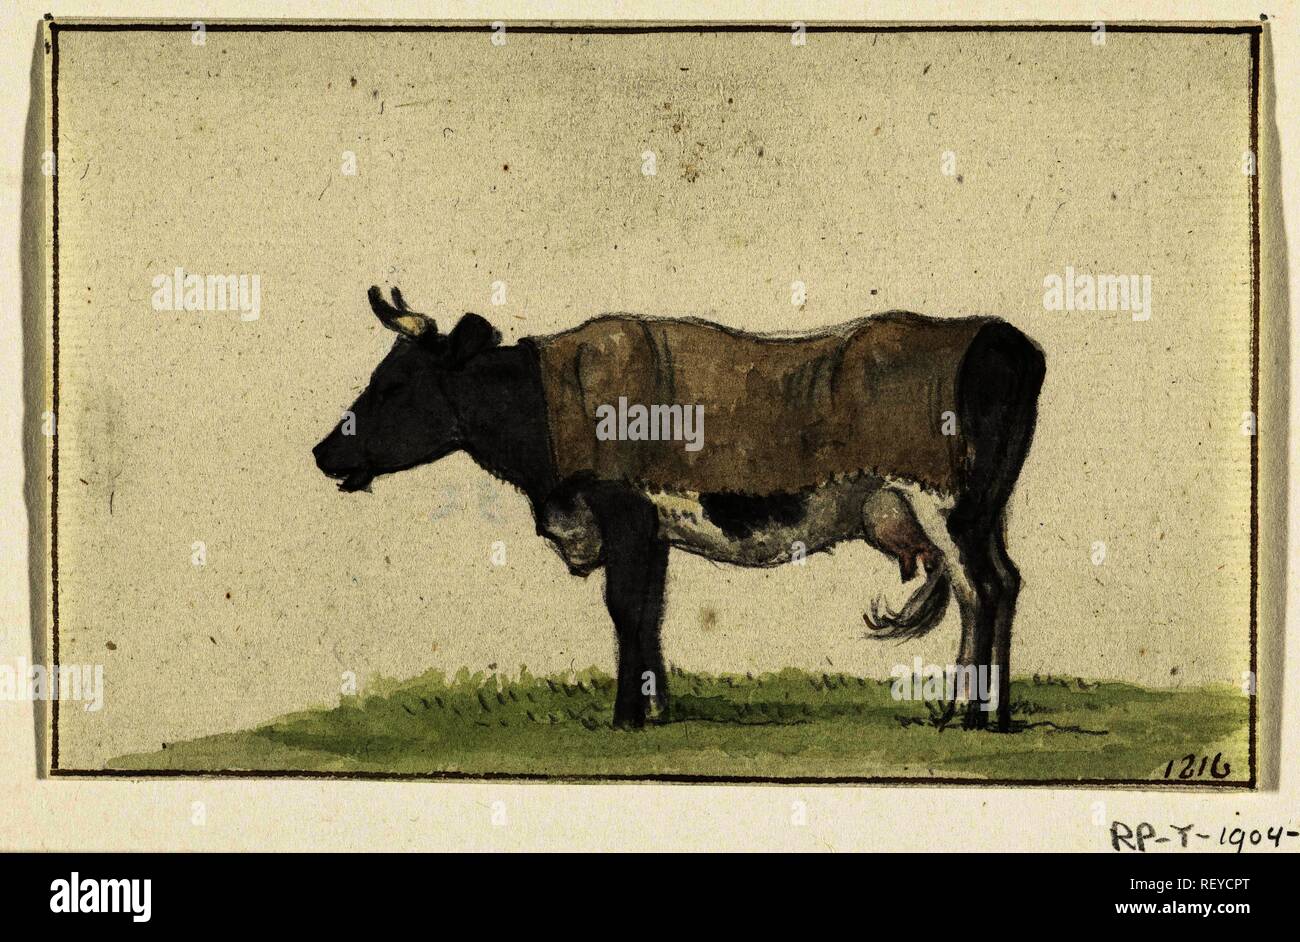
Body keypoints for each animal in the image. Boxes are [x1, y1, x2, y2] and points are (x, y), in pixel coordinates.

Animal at [313, 286, 1046, 732]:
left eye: (393, 383)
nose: (322, 452)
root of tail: (1002, 337)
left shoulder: (623, 510)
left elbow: (624, 608)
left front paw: (624, 717)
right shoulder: (656, 529)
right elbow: (651, 612)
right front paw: (655, 707)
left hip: (946, 505)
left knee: (981, 588)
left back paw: (974, 713)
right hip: (980, 512)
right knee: (1000, 584)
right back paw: (982, 711)